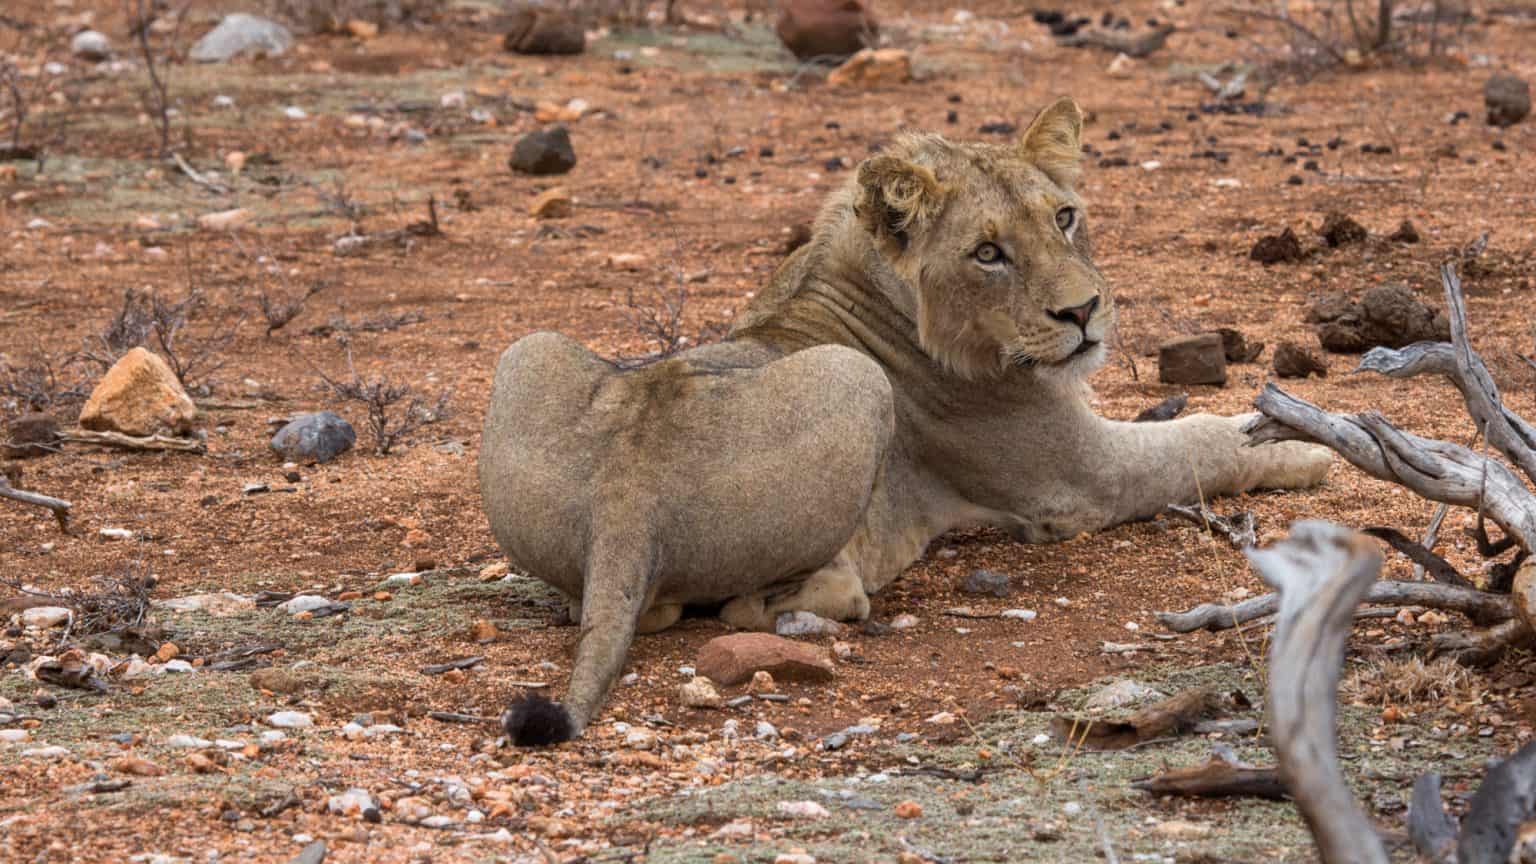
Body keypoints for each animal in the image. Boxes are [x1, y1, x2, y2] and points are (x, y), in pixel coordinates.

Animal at [478, 97, 1333, 746]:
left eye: (1064, 217)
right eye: (987, 253)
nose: (1084, 312)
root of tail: (624, 504)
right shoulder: (1078, 480)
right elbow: (1206, 441)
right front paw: (1304, 444)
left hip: (527, 349)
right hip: (855, 388)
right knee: (752, 604)